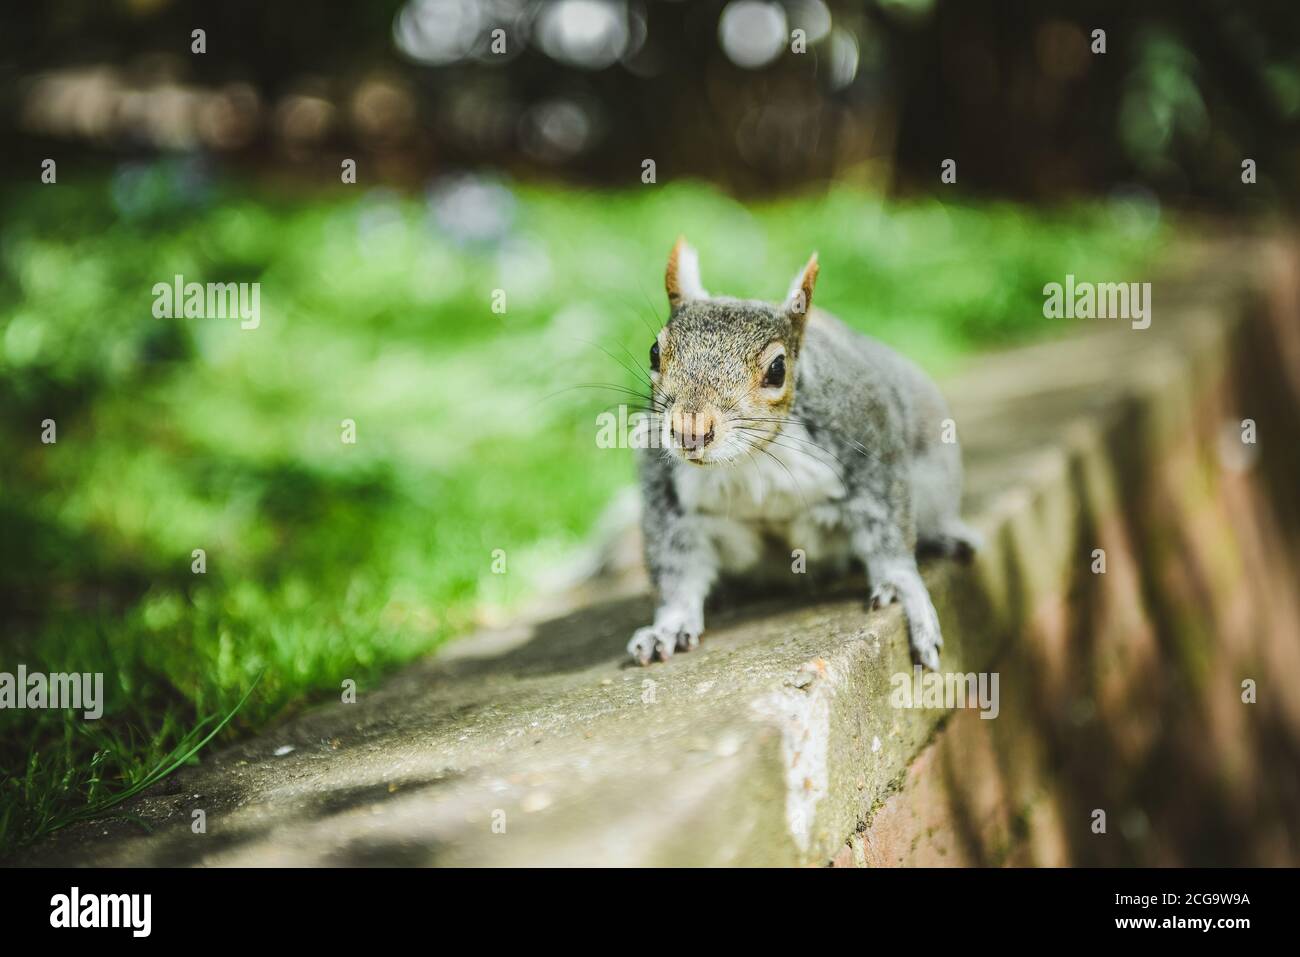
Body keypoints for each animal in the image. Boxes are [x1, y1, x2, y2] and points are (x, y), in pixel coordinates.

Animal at [629, 238, 979, 669]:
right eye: (654, 352)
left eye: (778, 369)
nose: (689, 431)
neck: (754, 455)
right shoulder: (669, 498)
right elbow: (675, 566)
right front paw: (670, 624)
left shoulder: (872, 450)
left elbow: (889, 534)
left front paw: (903, 589)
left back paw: (945, 535)